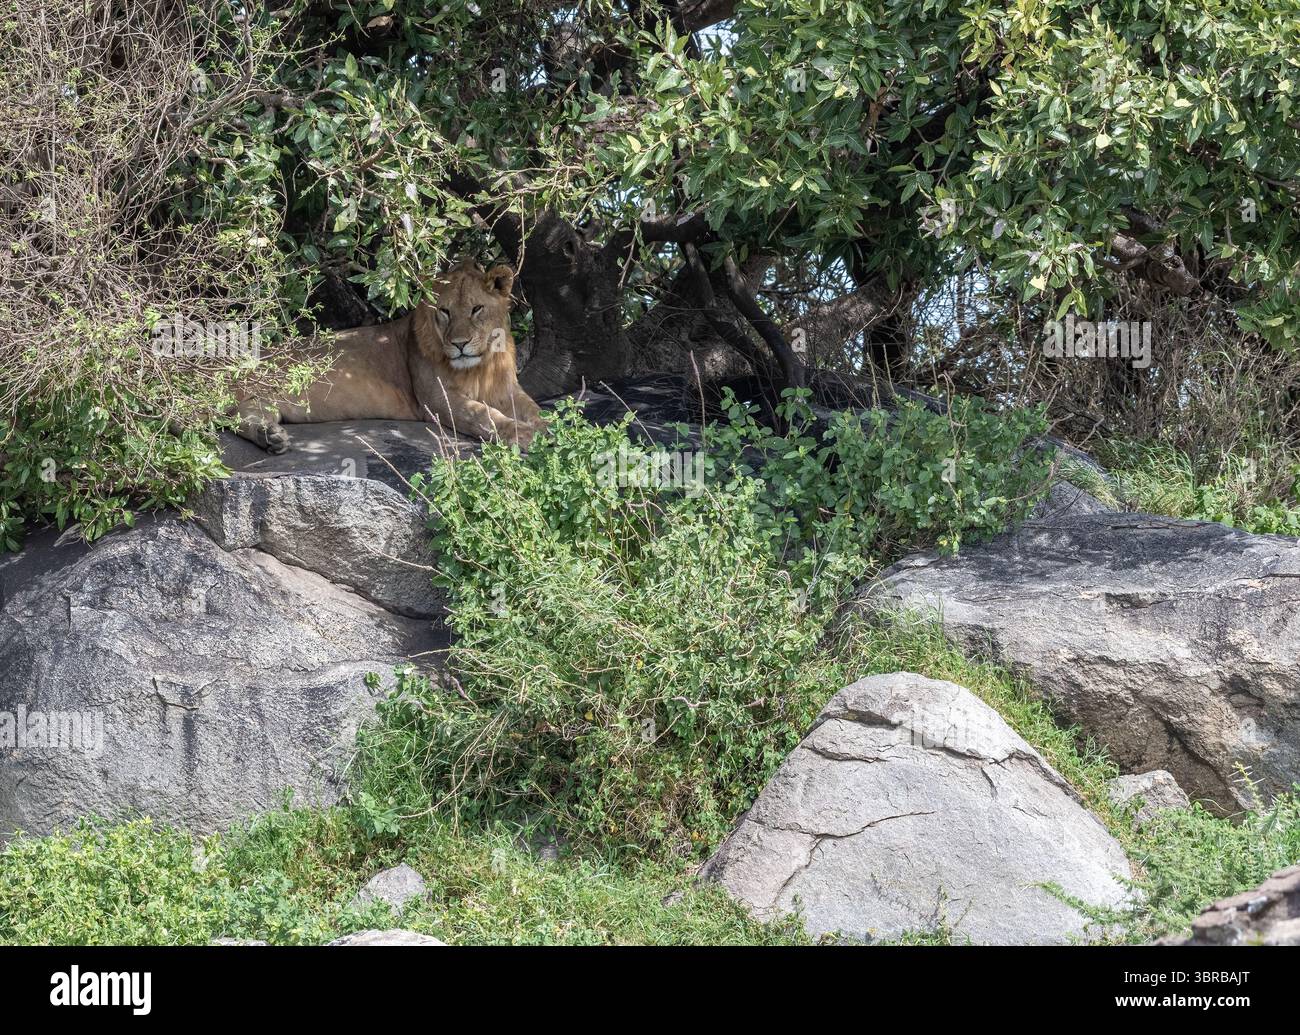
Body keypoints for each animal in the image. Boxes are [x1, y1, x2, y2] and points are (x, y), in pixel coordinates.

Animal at [234, 260, 544, 453]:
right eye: (444, 312)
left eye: (476, 309)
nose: (459, 344)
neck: (480, 366)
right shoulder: (437, 399)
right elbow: (482, 414)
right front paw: (521, 434)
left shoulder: (507, 389)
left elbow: (533, 408)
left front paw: (548, 427)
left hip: (264, 403)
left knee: (242, 417)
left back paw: (271, 438)